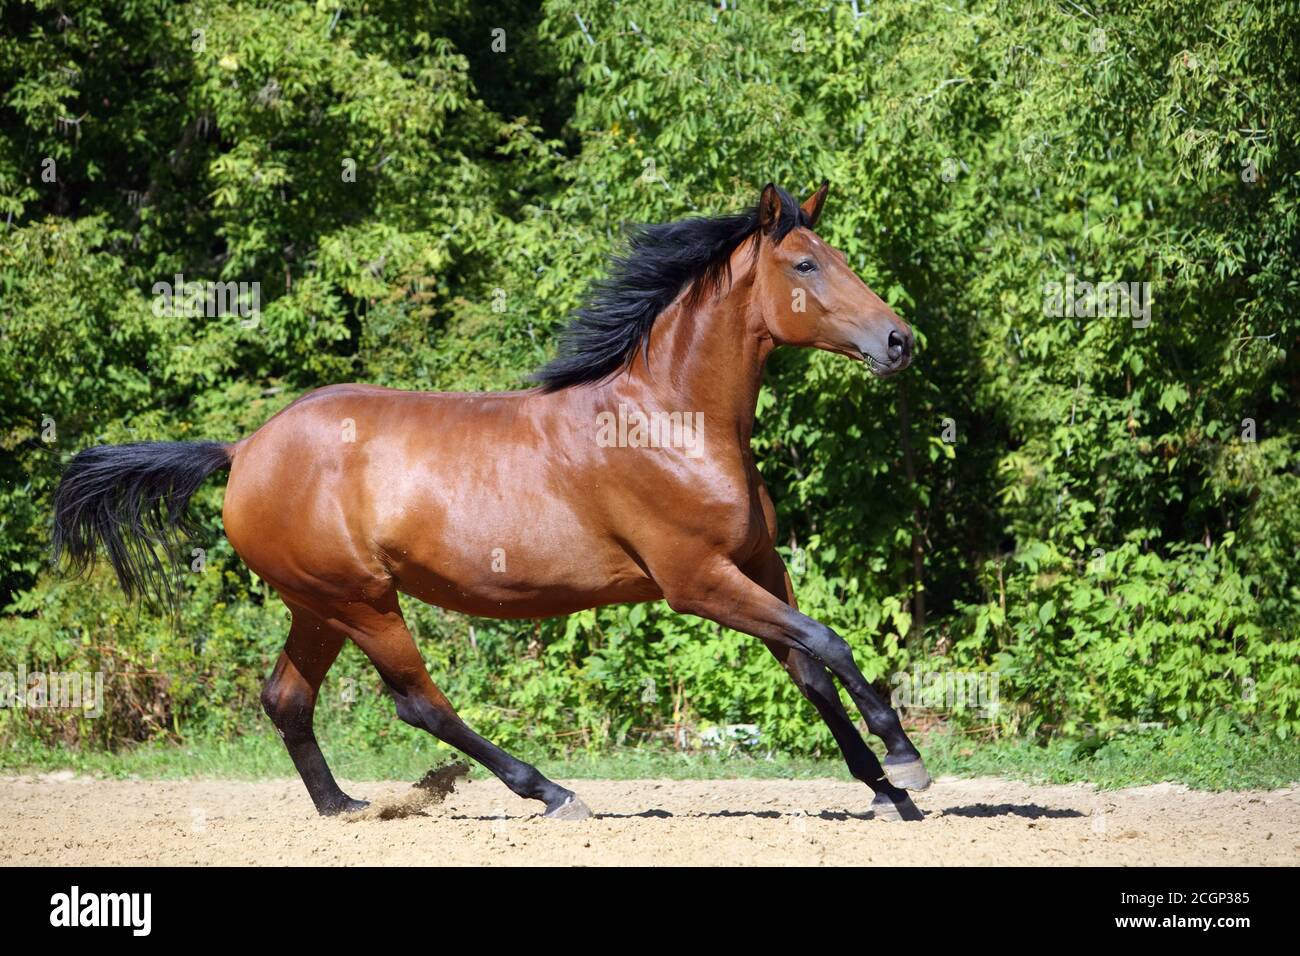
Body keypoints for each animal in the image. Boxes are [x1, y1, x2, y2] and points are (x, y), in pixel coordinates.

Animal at [52, 181, 929, 822]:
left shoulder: (758, 563)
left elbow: (811, 669)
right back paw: (551, 793)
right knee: (419, 704)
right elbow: (829, 642)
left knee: (287, 699)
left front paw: (885, 790)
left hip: (318, 604)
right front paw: (906, 760)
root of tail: (242, 451)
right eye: (805, 266)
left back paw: (343, 807)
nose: (900, 341)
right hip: (364, 602)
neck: (671, 423)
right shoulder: (697, 581)